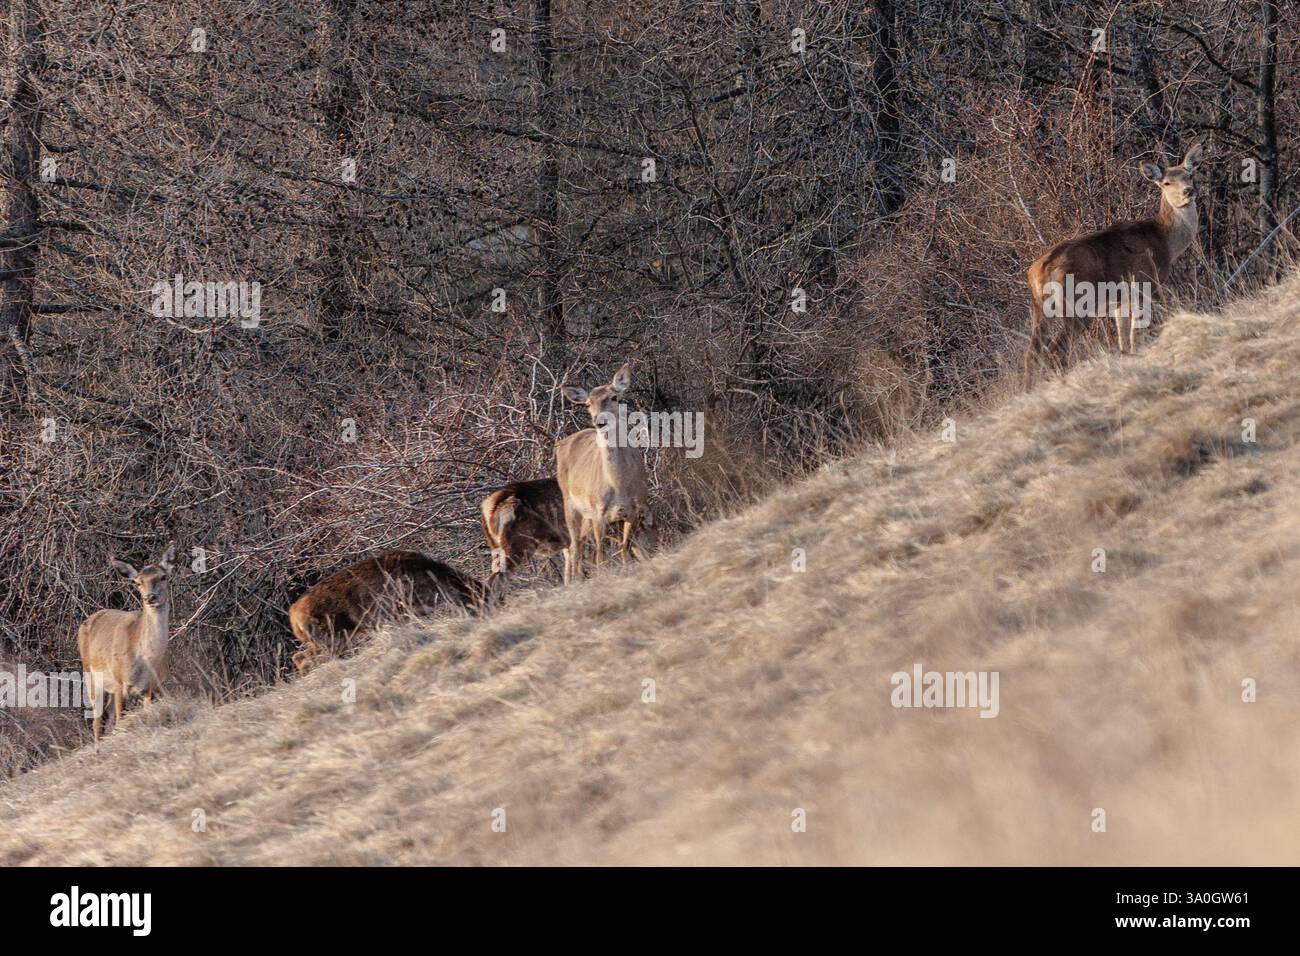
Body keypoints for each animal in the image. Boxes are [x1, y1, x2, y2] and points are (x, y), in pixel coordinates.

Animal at [76, 542, 176, 740]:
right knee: (98, 721)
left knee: (107, 716)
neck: (147, 658)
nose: (150, 597)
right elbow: (120, 720)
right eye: (137, 582)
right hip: (91, 676)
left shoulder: (152, 686)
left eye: (163, 577)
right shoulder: (119, 681)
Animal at [289, 550, 484, 673]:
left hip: (329, 638)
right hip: (333, 637)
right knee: (304, 658)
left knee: (298, 656)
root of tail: (293, 617)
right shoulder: (395, 612)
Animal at [556, 363, 649, 584]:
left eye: (614, 397)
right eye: (588, 404)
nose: (599, 421)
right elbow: (600, 556)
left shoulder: (634, 509)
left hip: (587, 515)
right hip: (570, 504)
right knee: (573, 547)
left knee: (578, 546)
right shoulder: (599, 511)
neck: (619, 485)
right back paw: (571, 582)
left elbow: (624, 549)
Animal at [1024, 142, 1204, 381]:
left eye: (1190, 175)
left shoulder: (1121, 300)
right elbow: (1137, 336)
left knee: (1032, 353)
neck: (1165, 241)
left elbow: (1123, 340)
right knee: (1056, 350)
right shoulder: (1147, 282)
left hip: (1040, 307)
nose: (1188, 191)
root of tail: (1039, 271)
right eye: (1166, 182)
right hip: (1078, 304)